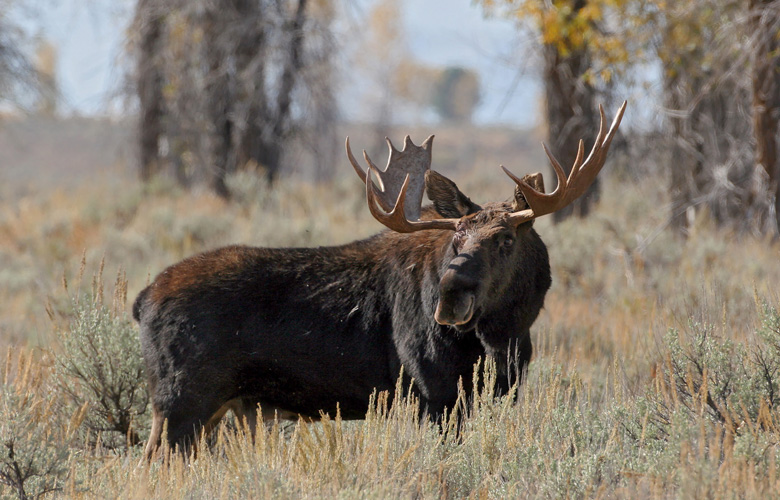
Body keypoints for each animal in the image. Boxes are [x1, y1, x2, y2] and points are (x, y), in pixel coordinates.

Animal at [133, 102, 626, 458]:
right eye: (457, 238)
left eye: (505, 238)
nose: (450, 294)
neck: (503, 336)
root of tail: (142, 300)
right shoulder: (434, 393)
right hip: (181, 400)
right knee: (150, 462)